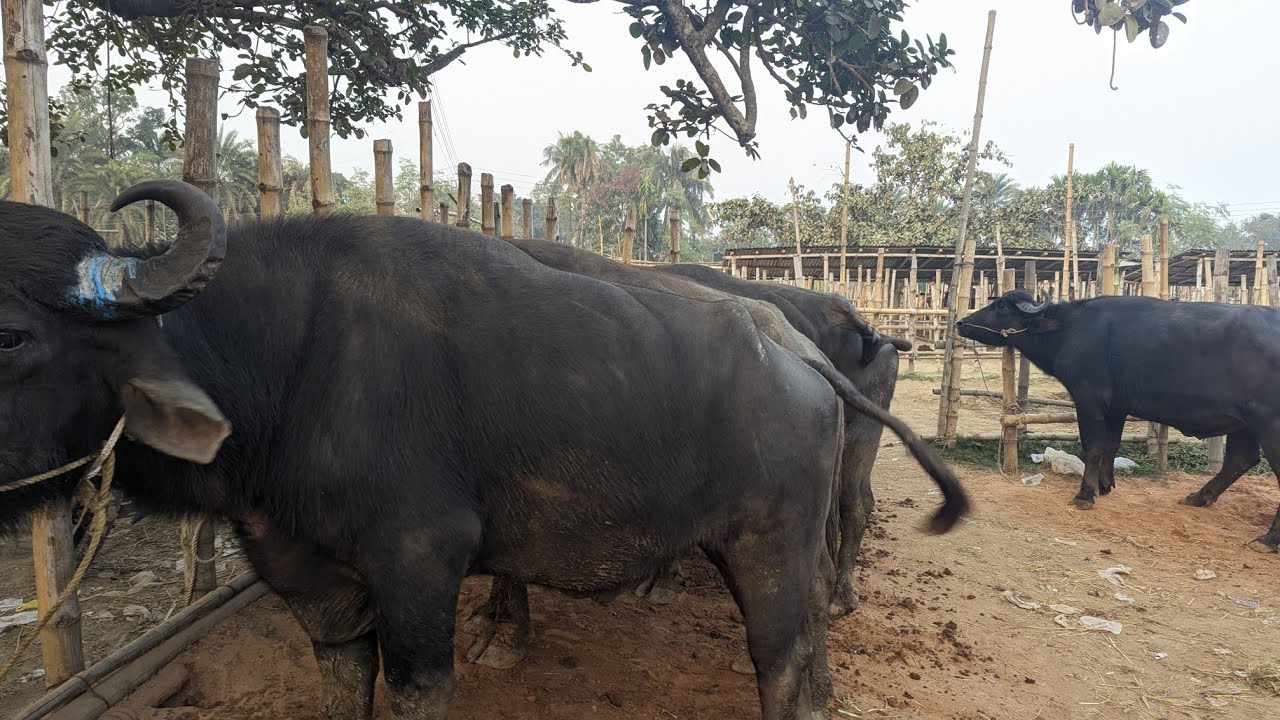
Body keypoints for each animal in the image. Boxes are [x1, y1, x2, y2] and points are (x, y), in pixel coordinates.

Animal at [0, 181, 967, 719]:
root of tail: (796, 342)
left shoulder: (420, 566)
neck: (285, 364)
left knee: (786, 658)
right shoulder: (325, 596)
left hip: (771, 544)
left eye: (12, 335)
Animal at [958, 289, 1280, 552]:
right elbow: (1111, 445)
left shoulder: (1088, 399)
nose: (962, 323)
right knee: (1241, 459)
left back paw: (1268, 540)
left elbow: (1093, 447)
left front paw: (1085, 494)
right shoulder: (1117, 407)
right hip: (1244, 423)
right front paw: (1105, 485)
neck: (1071, 330)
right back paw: (1200, 497)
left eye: (1000, 305)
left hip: (1266, 423)